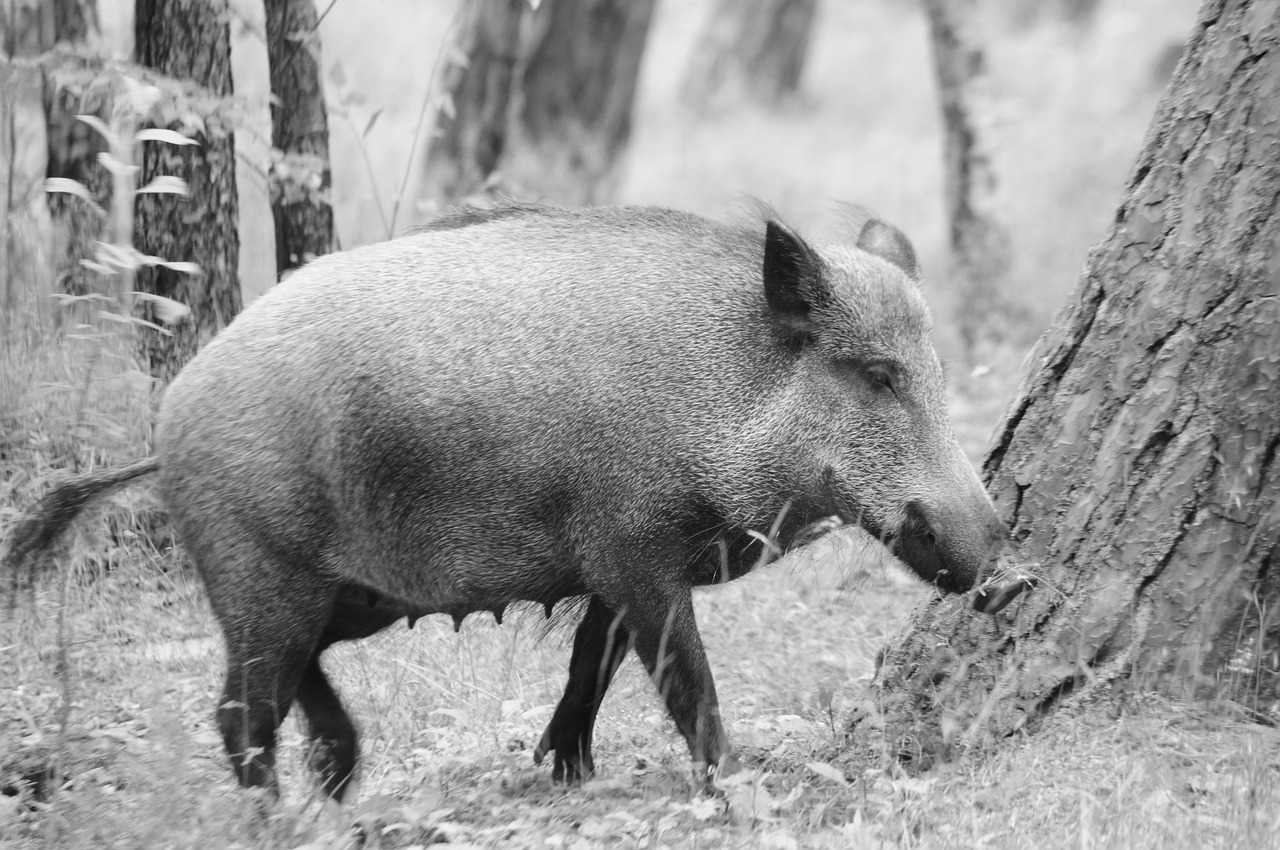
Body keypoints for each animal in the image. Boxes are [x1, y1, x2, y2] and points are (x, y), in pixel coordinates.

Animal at [2, 203, 1011, 800]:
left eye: (934, 368)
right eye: (877, 374)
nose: (1007, 567)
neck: (715, 392)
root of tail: (168, 422)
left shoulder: (607, 566)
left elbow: (588, 667)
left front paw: (566, 776)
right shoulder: (636, 551)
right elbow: (686, 679)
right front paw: (735, 786)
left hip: (342, 596)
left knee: (300, 698)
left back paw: (342, 784)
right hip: (258, 572)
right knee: (240, 717)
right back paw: (282, 816)